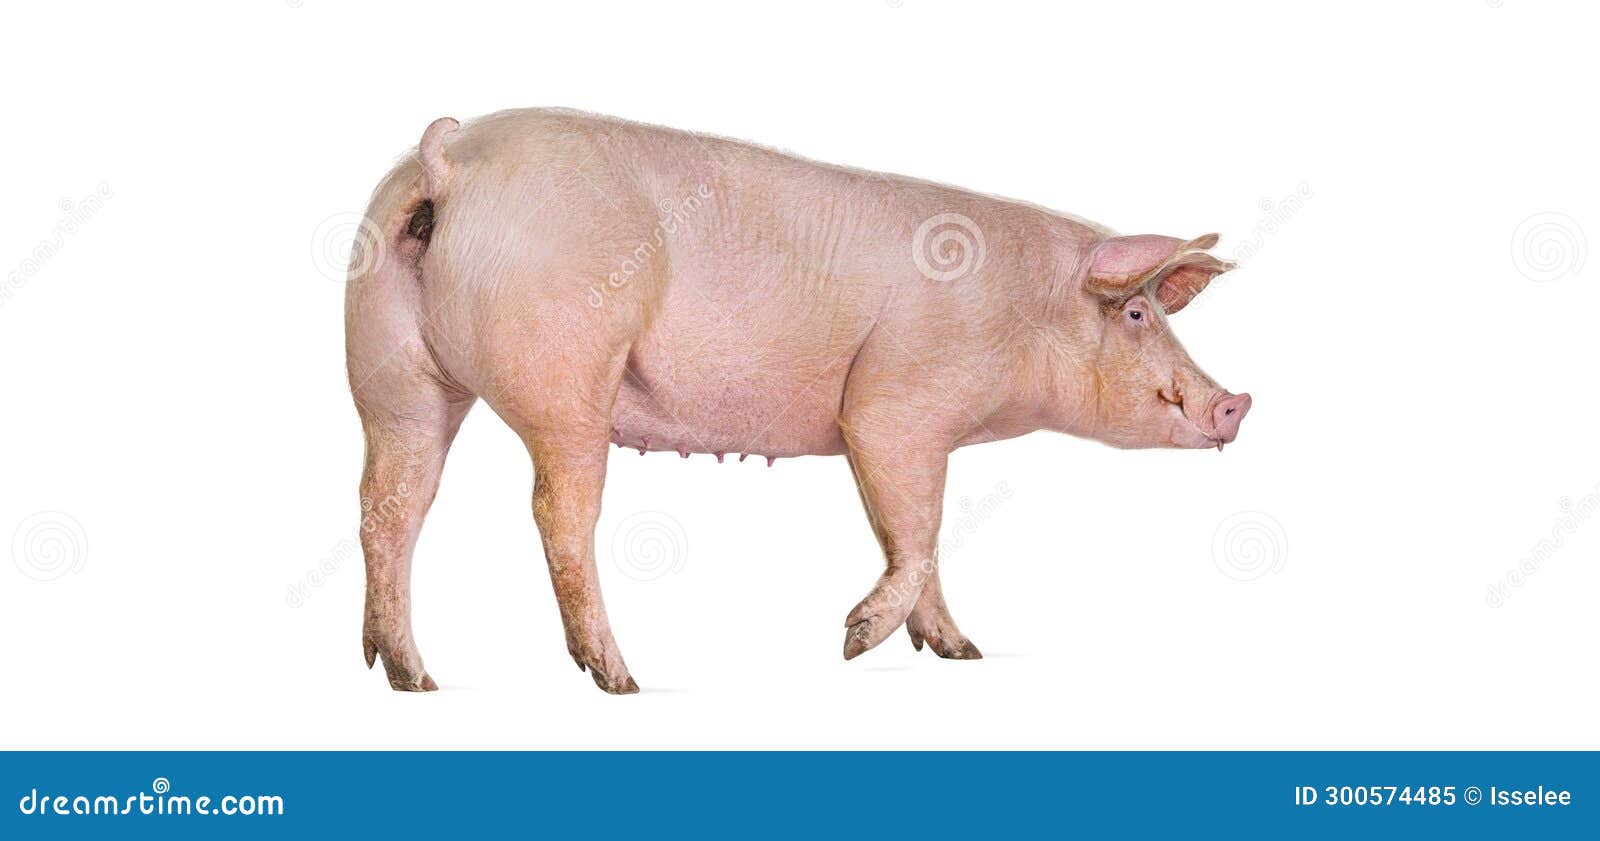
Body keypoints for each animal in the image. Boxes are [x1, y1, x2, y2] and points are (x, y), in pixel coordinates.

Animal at [345, 108, 1252, 694]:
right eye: (1136, 315)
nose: (1236, 402)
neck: (1024, 312)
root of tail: (450, 160)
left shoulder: (887, 439)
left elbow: (905, 533)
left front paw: (961, 654)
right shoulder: (896, 405)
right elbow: (921, 529)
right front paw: (853, 643)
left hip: (391, 374)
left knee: (389, 504)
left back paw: (409, 676)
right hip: (566, 377)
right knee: (557, 513)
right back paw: (619, 677)